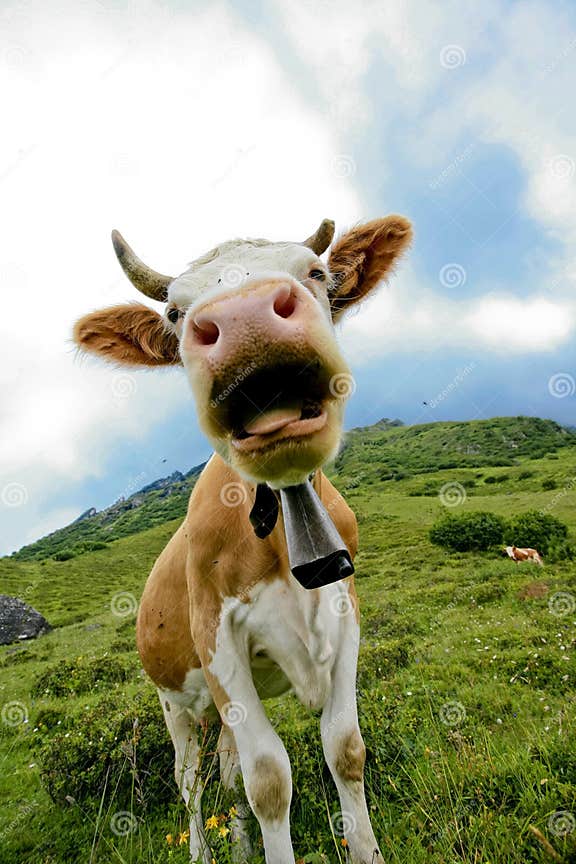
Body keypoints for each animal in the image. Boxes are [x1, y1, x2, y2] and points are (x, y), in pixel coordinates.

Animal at [73, 214, 412, 864]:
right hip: (175, 703)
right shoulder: (218, 640)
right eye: (174, 313)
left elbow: (346, 750)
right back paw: (202, 851)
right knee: (190, 781)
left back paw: (236, 847)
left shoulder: (346, 613)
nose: (245, 319)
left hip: (221, 709)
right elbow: (269, 782)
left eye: (317, 273)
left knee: (226, 773)